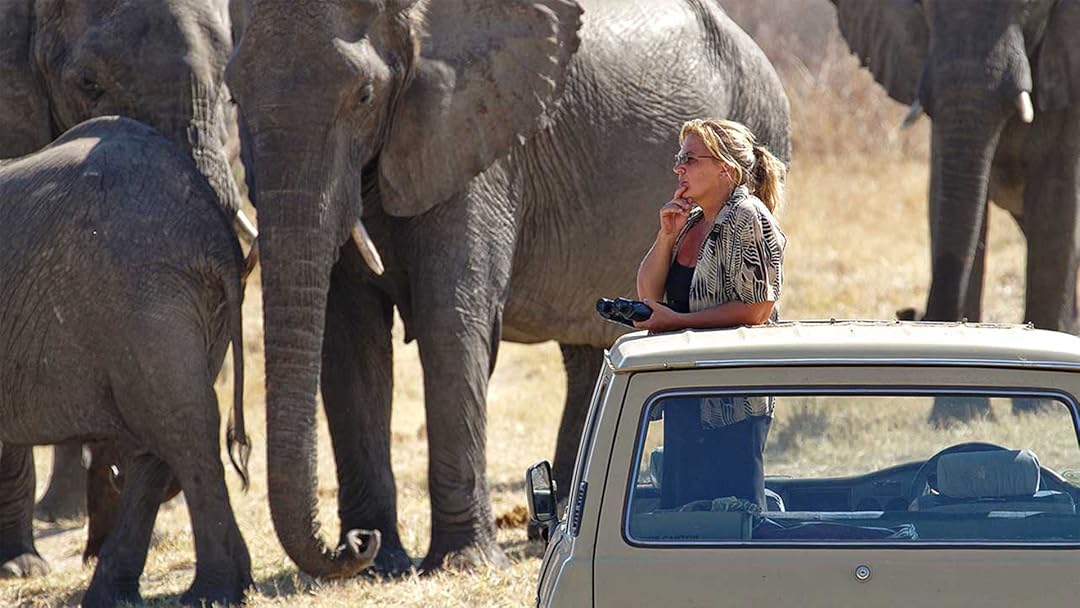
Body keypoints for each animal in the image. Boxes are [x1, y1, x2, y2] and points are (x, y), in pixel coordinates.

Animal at [227, 0, 789, 575]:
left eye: (363, 96)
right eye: (232, 95)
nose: (354, 544)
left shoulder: (477, 146)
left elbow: (449, 322)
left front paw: (461, 562)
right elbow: (348, 338)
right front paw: (384, 563)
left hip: (763, 113)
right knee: (588, 352)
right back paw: (555, 518)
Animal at [830, 0, 1080, 418]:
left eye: (1029, 5)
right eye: (924, 7)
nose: (908, 313)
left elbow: (1056, 203)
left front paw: (1040, 410)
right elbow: (947, 196)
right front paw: (957, 414)